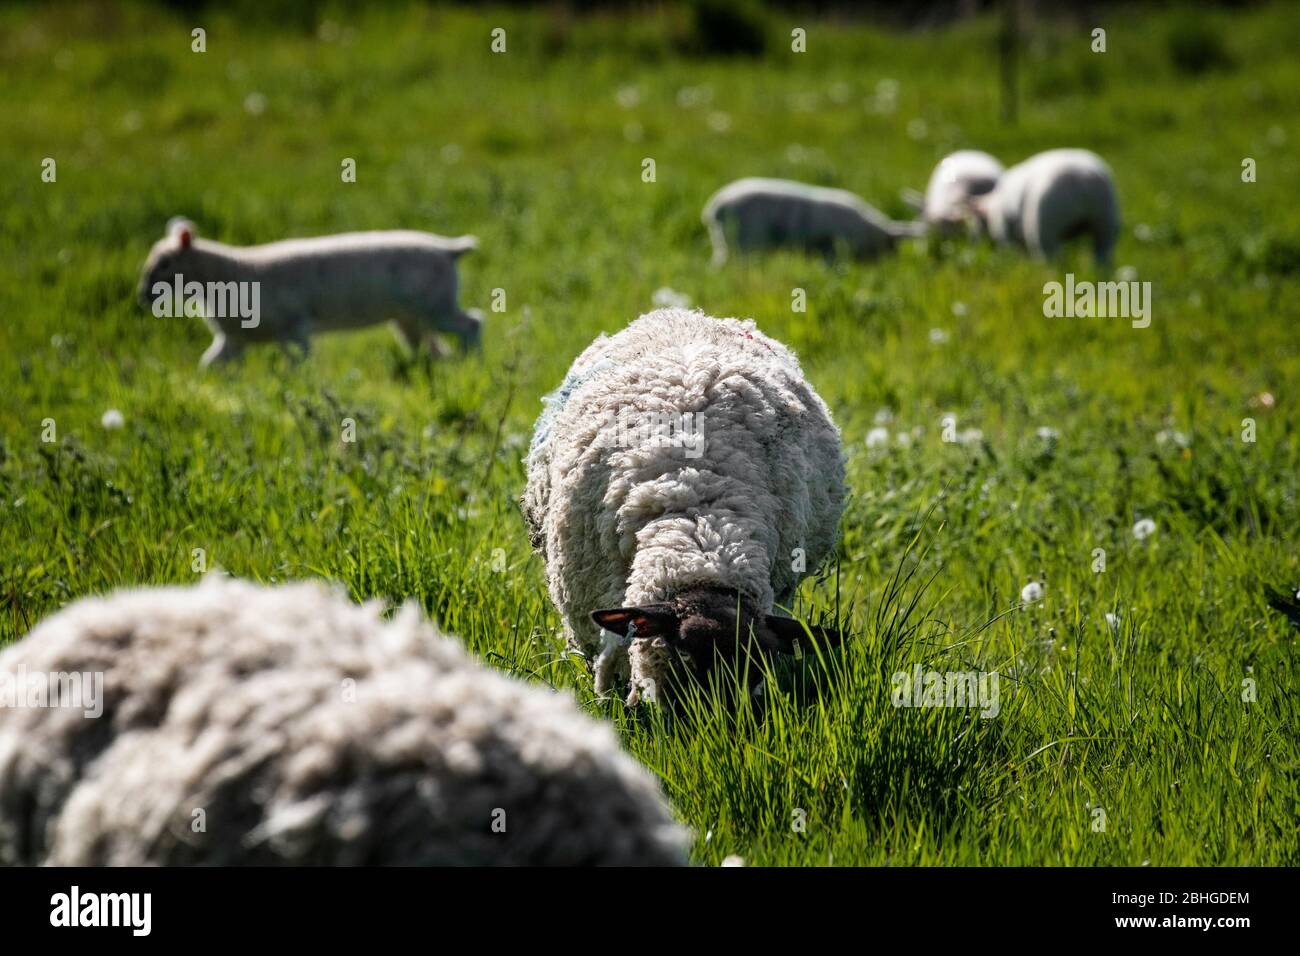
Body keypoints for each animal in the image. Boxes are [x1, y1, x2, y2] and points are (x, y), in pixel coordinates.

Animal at [137, 219, 484, 367]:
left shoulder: (296, 325)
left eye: (165, 263)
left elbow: (300, 363)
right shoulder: (234, 339)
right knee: (427, 344)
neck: (235, 271)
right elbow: (209, 364)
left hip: (436, 305)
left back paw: (473, 361)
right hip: (410, 316)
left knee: (472, 323)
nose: (143, 296)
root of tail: (448, 248)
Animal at [971, 149, 1120, 265]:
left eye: (978, 222)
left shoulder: (1004, 231)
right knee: (1102, 255)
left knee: (1048, 258)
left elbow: (1014, 252)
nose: (980, 245)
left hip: (1044, 226)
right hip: (1105, 221)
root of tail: (1083, 178)